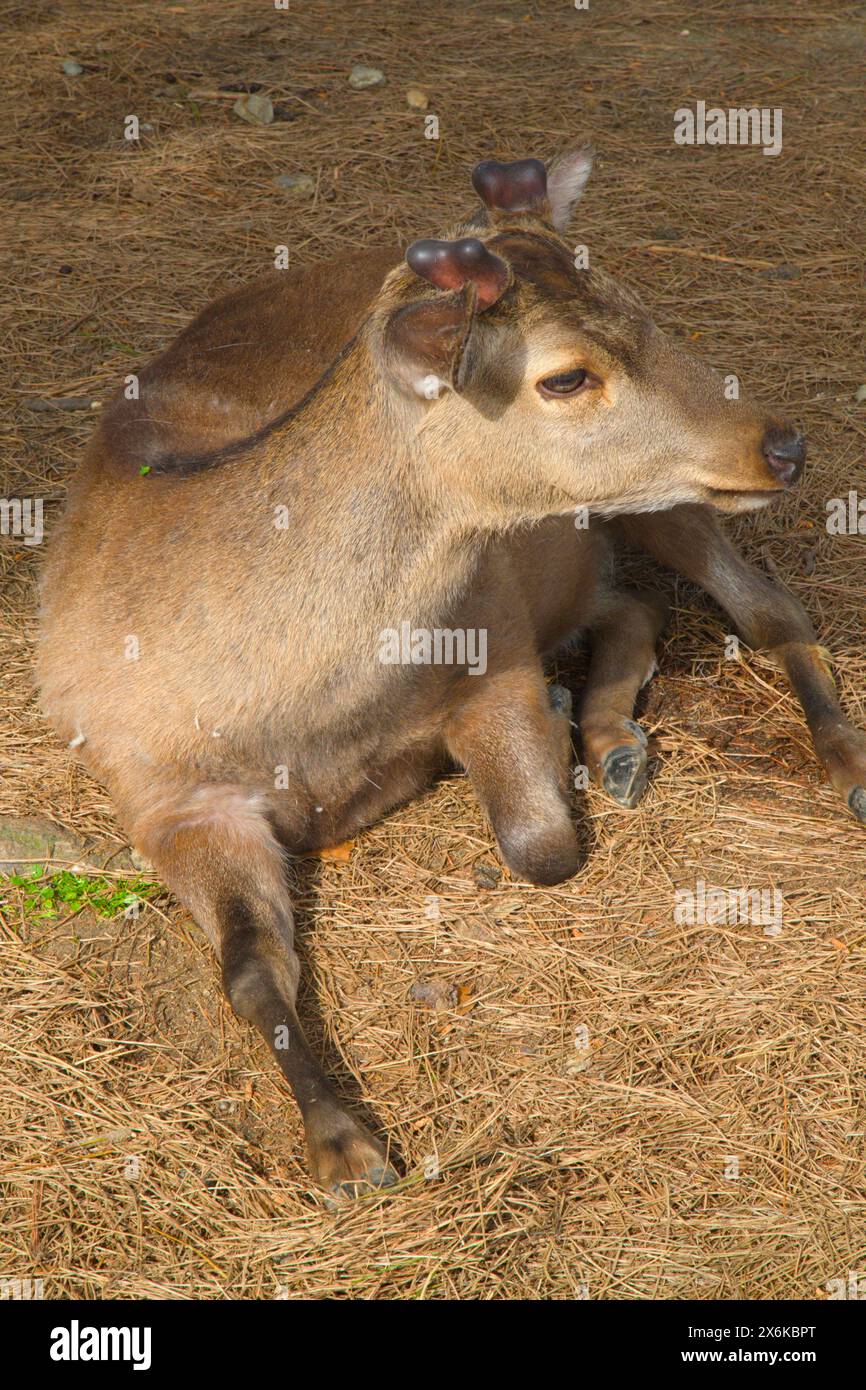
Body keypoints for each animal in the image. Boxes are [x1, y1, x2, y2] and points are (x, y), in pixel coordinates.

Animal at [37, 148, 866, 1201]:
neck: (295, 709)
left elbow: (542, 845)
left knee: (768, 612)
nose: (787, 445)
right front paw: (346, 1147)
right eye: (565, 375)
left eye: (640, 303)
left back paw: (836, 765)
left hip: (660, 505)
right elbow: (250, 970)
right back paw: (612, 737)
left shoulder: (492, 644)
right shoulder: (163, 796)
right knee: (637, 606)